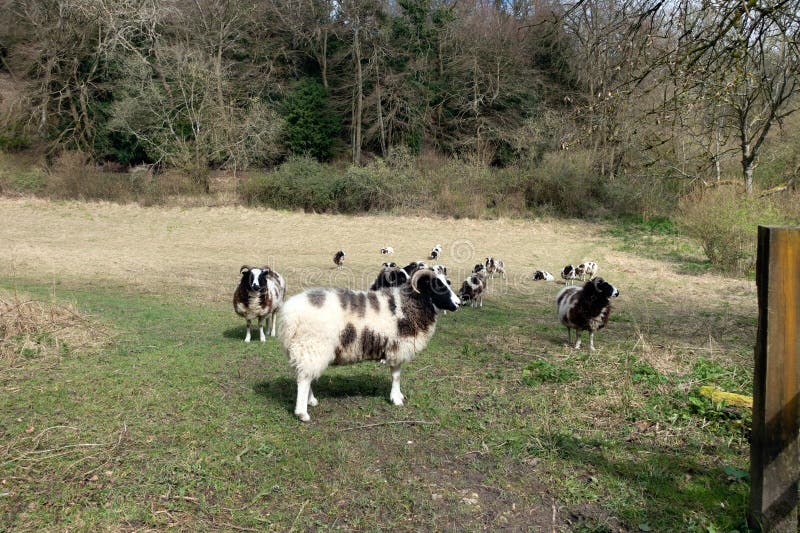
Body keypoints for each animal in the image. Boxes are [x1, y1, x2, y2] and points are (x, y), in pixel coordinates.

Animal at [277, 269, 461, 422]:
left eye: (447, 283)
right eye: (438, 286)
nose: (459, 303)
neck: (408, 304)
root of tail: (289, 315)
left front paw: (398, 396)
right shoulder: (397, 347)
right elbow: (396, 376)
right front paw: (396, 399)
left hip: (306, 349)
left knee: (305, 375)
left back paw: (311, 401)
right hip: (312, 345)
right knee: (304, 379)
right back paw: (302, 413)